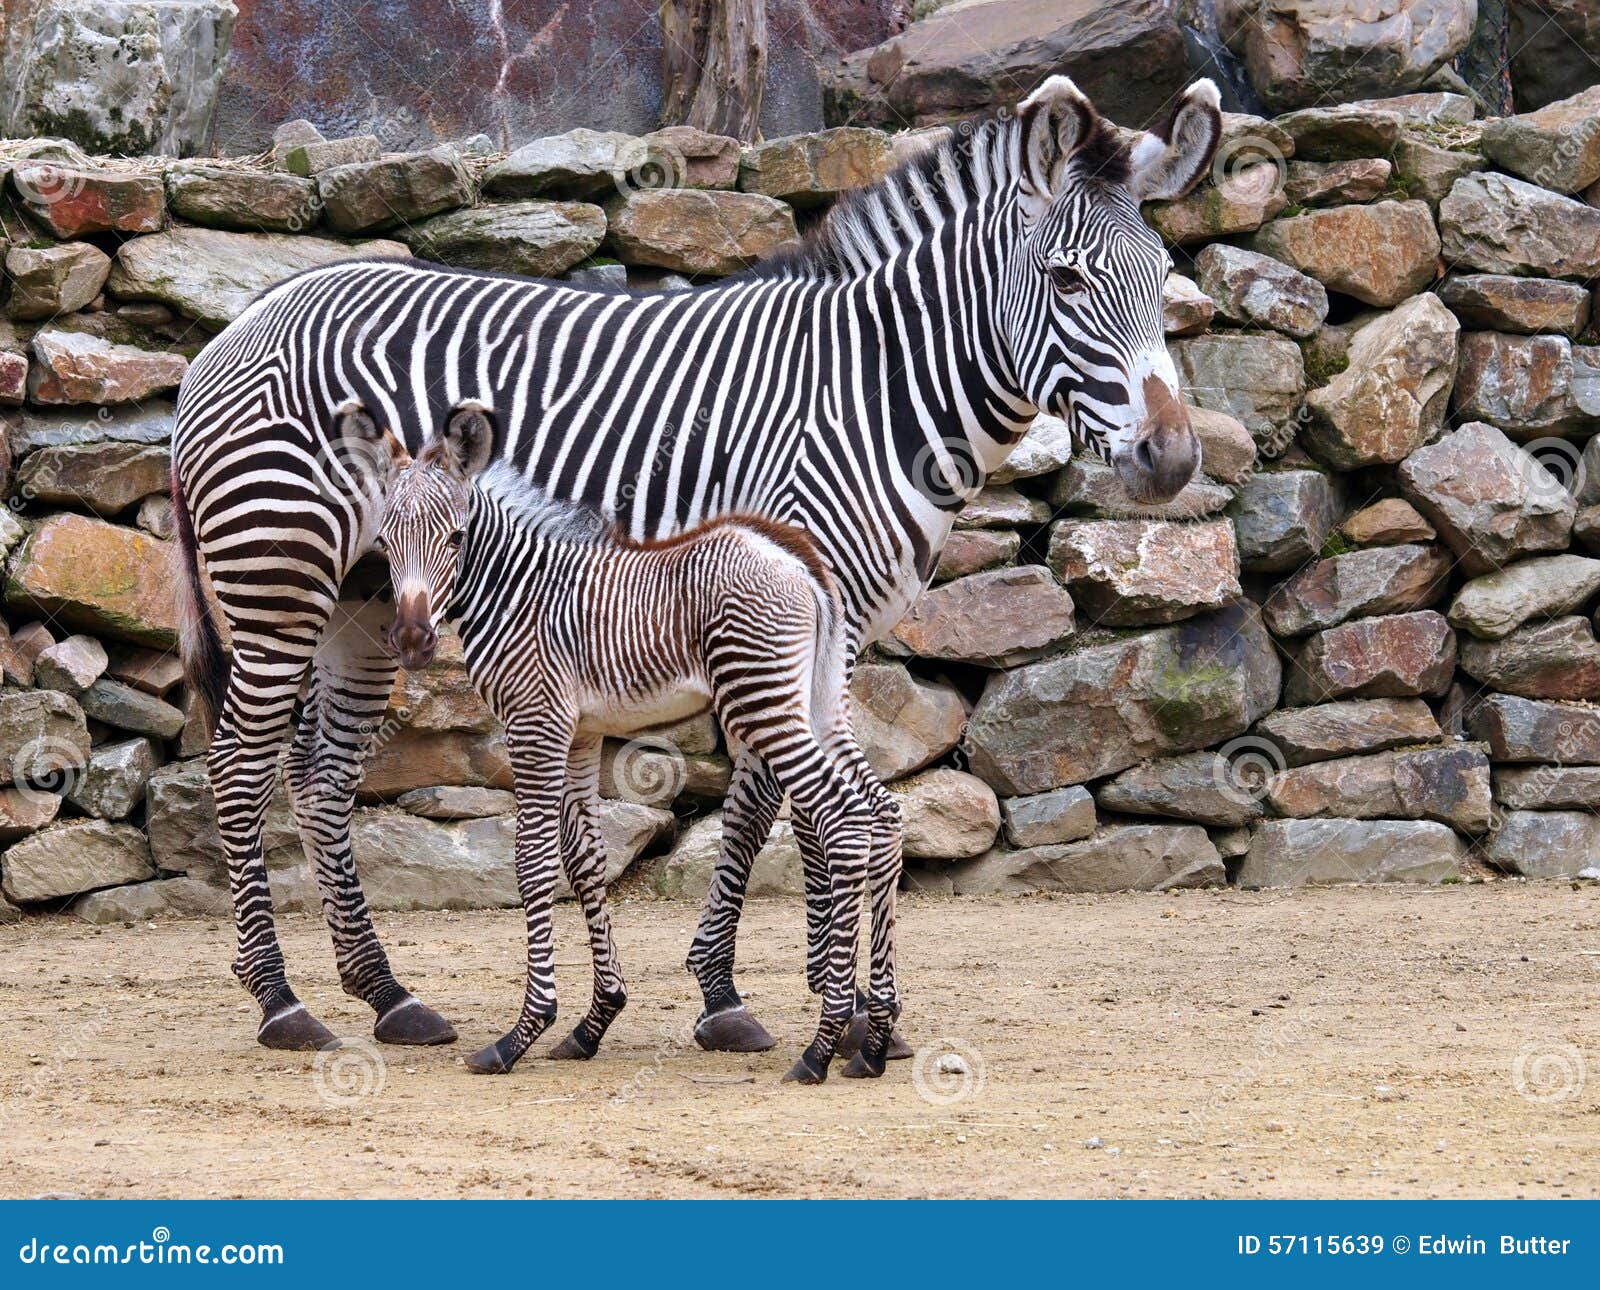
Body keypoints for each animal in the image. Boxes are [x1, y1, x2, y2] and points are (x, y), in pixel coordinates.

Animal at [369, 399, 903, 1080]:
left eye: (455, 538)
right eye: (384, 541)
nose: (412, 642)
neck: (518, 590)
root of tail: (795, 556)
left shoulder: (534, 723)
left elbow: (533, 864)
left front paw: (521, 1033)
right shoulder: (579, 735)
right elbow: (585, 864)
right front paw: (593, 1022)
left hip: (765, 702)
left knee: (845, 819)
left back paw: (822, 1044)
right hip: (821, 699)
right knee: (883, 813)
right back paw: (875, 1037)